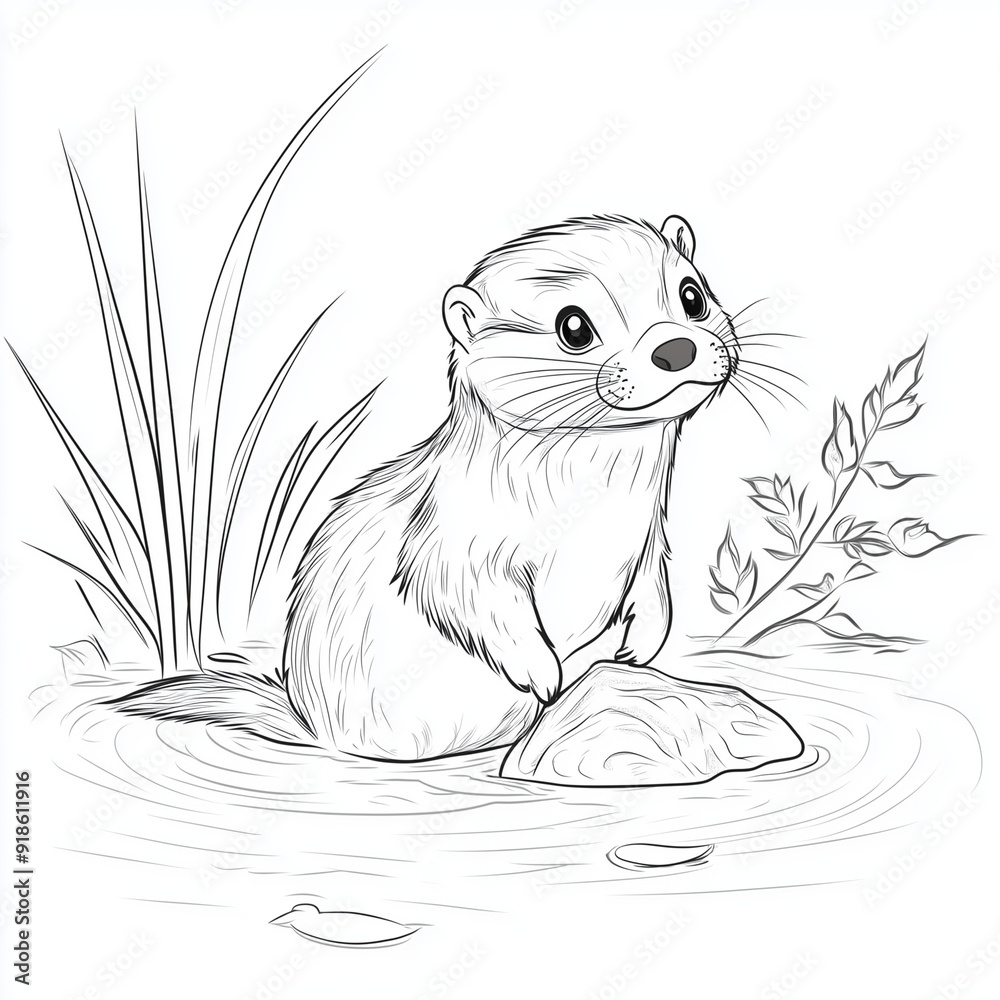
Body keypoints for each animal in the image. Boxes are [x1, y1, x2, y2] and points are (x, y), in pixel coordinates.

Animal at [110, 213, 739, 761]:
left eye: (692, 296)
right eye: (574, 325)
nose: (673, 347)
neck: (599, 519)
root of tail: (306, 714)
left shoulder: (649, 536)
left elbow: (655, 588)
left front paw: (641, 645)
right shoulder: (453, 536)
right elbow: (455, 591)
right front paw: (542, 671)